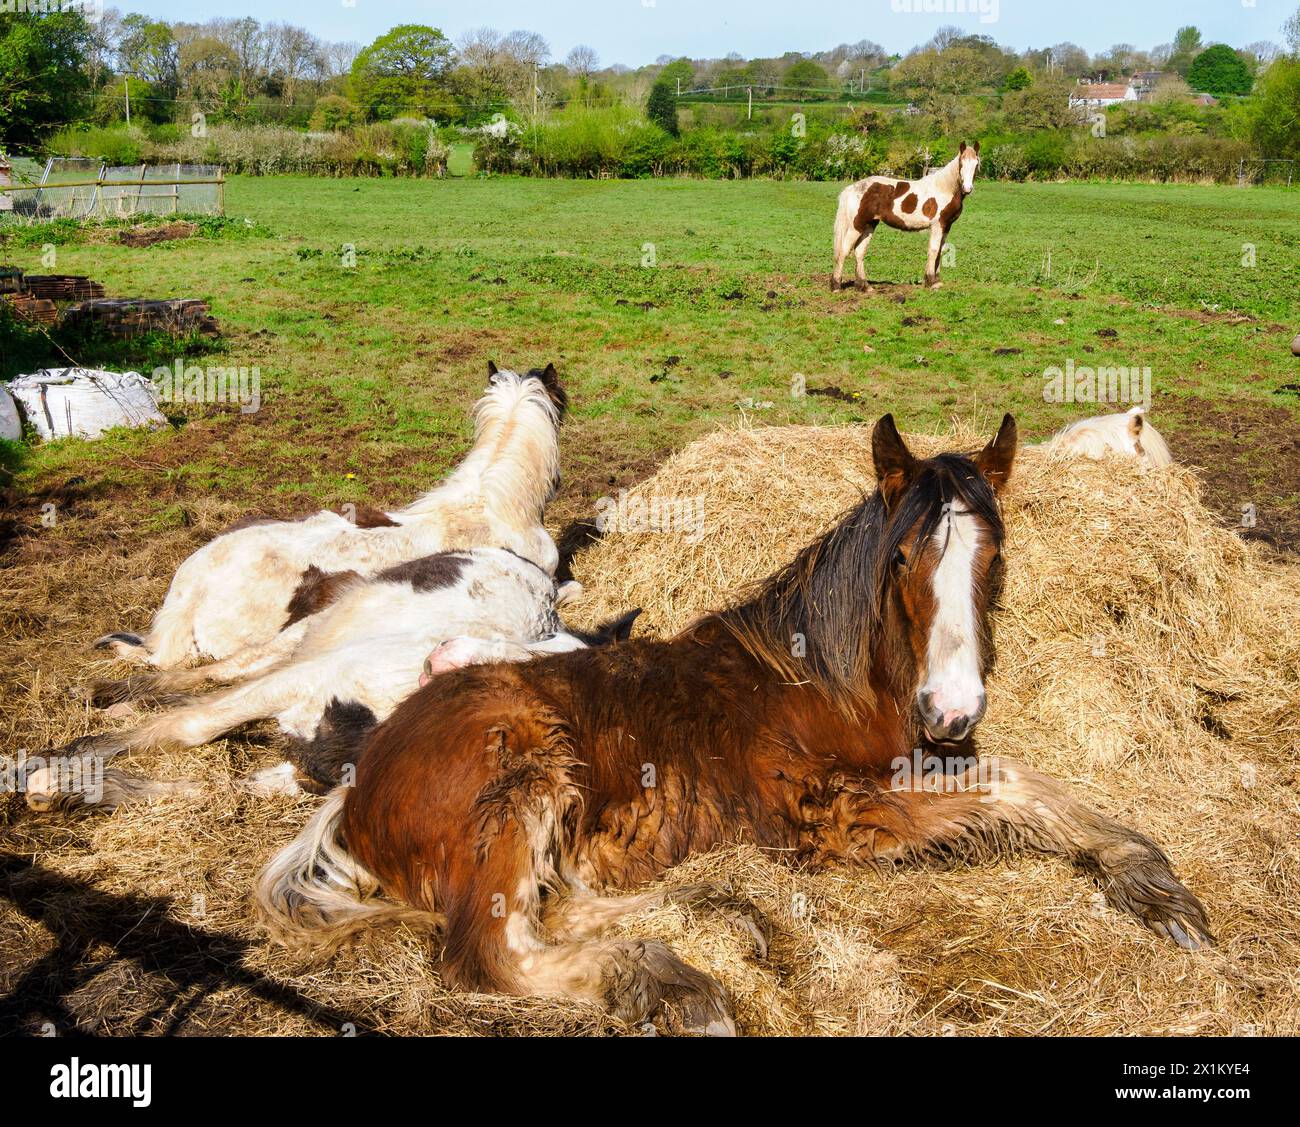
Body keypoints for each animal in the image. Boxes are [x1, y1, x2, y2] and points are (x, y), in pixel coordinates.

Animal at [25, 548, 639, 812]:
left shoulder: (310, 772)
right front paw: (62, 760)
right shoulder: (313, 676)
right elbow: (193, 726)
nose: (443, 657)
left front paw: (71, 786)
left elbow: (218, 788)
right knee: (222, 670)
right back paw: (112, 693)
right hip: (315, 629)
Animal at [257, 414, 1212, 1035]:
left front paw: (1150, 880)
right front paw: (1147, 878)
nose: (951, 710)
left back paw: (717, 908)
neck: (822, 680)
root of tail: (356, 784)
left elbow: (1032, 783)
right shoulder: (835, 815)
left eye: (997, 554)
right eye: (902, 556)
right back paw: (671, 981)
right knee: (493, 949)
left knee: (557, 904)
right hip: (524, 776)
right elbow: (1011, 781)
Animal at [832, 141, 980, 292]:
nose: (968, 188)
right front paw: (931, 282)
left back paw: (865, 286)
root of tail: (851, 188)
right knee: (843, 251)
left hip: (869, 225)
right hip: (856, 226)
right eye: (961, 163)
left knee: (859, 252)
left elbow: (940, 250)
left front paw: (936, 281)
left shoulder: (946, 226)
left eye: (976, 164)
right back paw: (836, 286)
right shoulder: (937, 225)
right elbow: (933, 250)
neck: (944, 188)